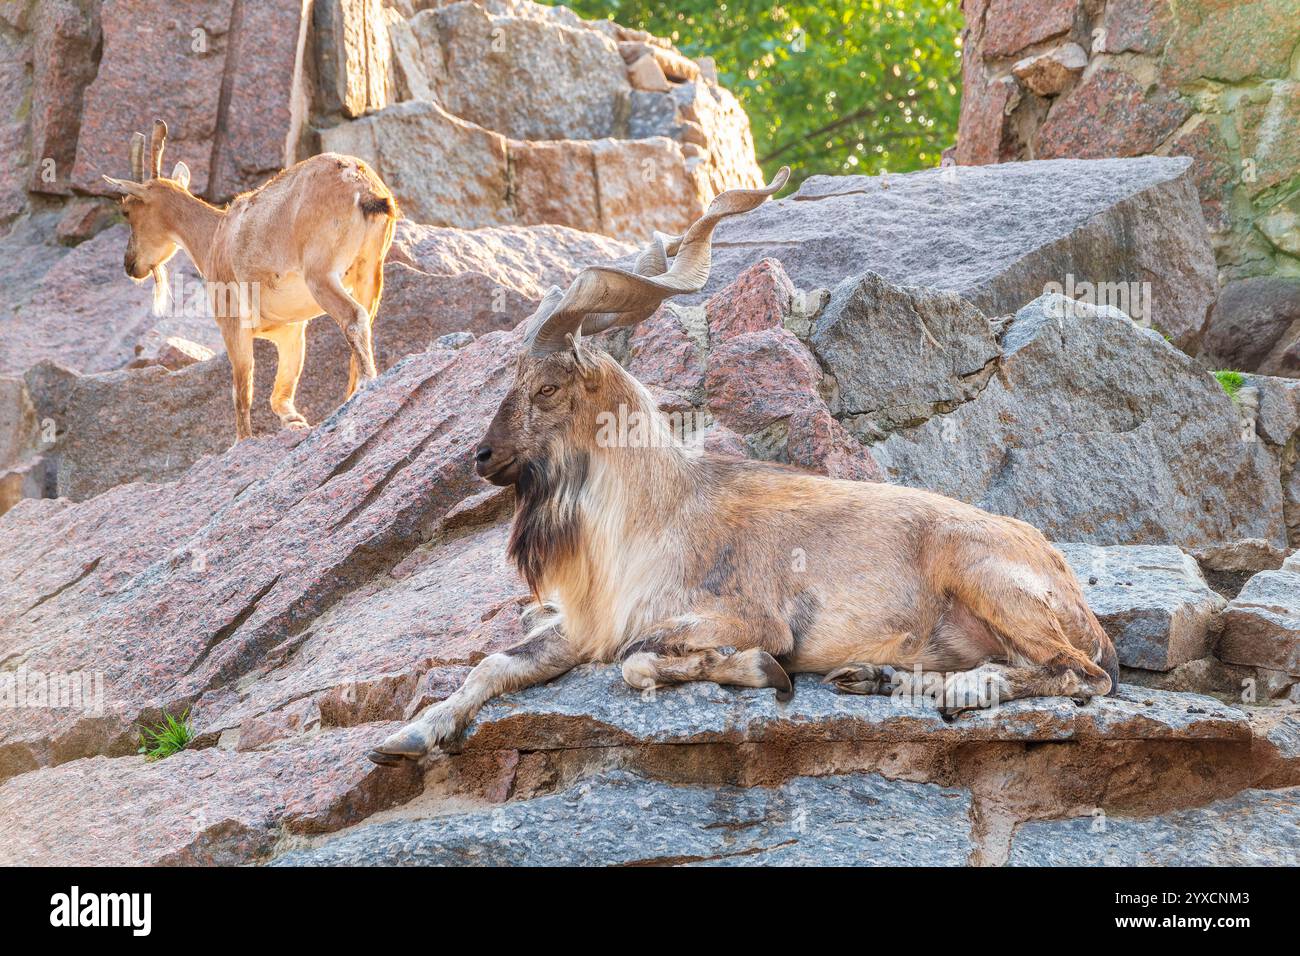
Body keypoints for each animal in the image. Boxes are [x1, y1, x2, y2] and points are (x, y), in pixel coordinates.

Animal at [102, 120, 399, 441]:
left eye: (126, 211)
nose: (130, 264)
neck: (214, 236)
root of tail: (362, 186)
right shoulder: (290, 331)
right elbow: (281, 395)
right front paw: (294, 422)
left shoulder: (233, 323)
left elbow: (241, 391)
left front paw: (242, 441)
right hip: (370, 269)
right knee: (365, 318)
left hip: (320, 274)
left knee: (353, 318)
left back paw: (364, 386)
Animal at [368, 169, 1120, 766]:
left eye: (546, 388)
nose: (482, 458)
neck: (652, 515)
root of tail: (1071, 589)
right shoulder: (584, 626)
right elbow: (495, 663)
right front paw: (407, 737)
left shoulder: (739, 617)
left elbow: (640, 661)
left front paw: (764, 673)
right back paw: (874, 678)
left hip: (987, 580)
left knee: (1079, 673)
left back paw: (955, 688)